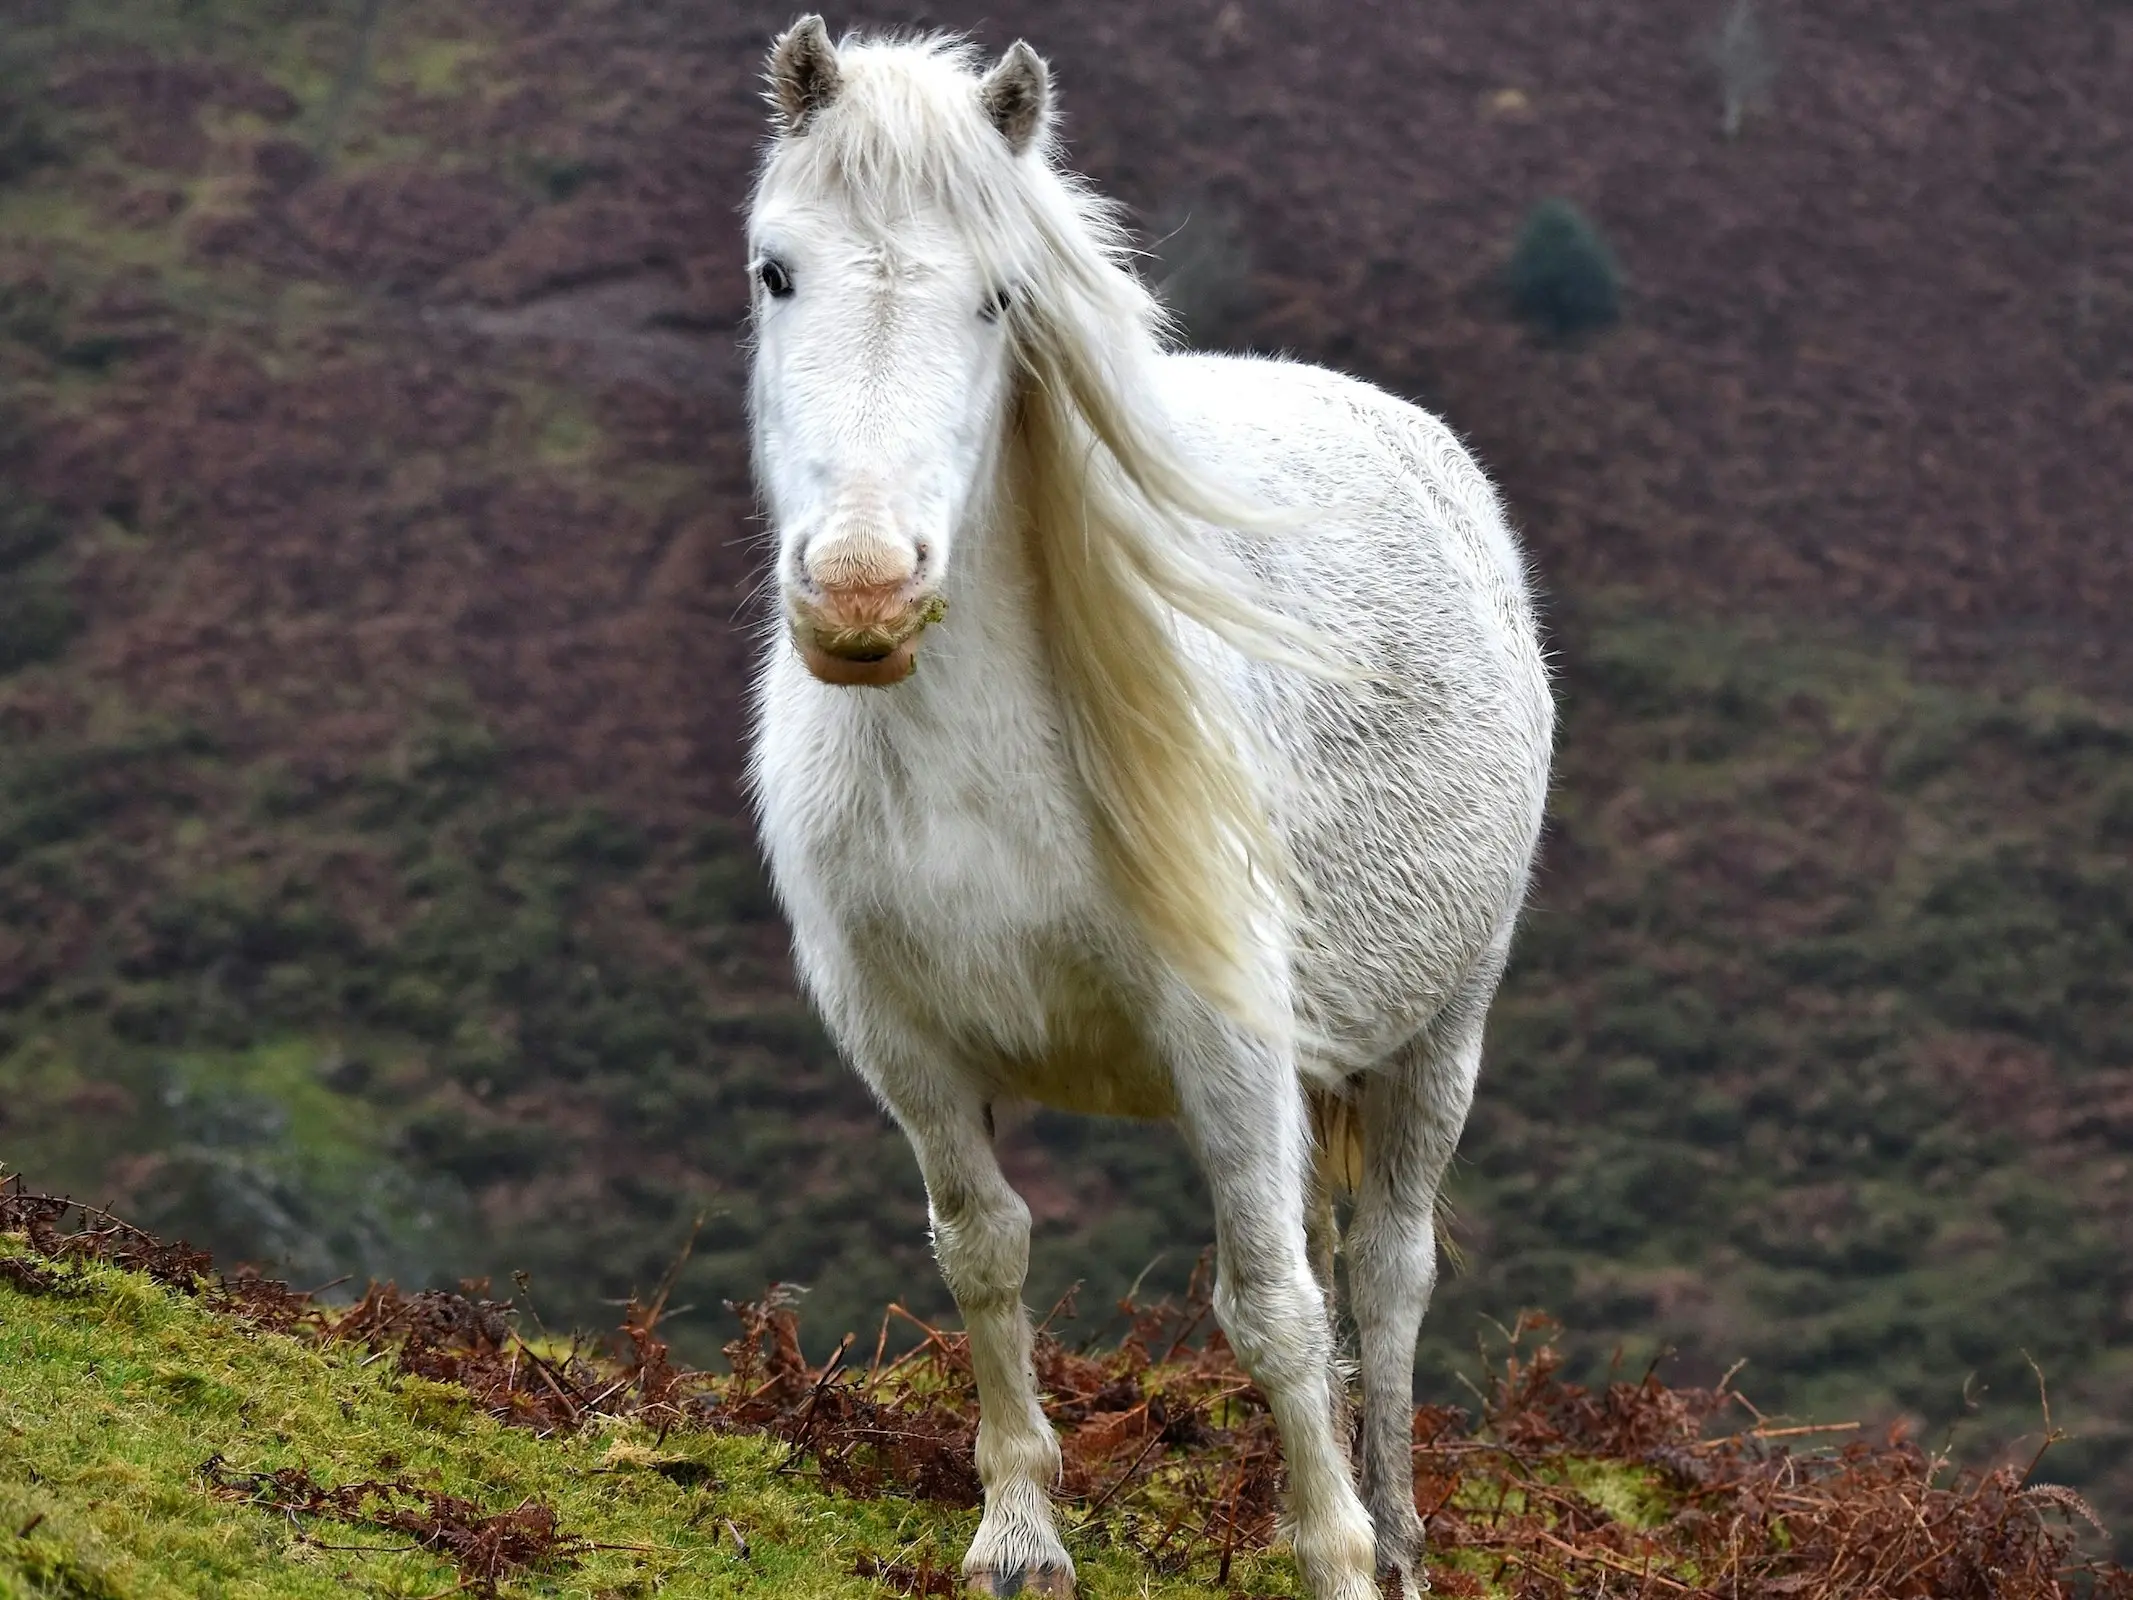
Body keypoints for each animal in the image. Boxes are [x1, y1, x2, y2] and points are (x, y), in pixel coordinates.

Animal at [744, 20, 1554, 1600]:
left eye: (1000, 296)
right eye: (774, 271)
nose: (861, 594)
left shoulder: (1225, 1036)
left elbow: (1274, 1309)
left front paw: (1336, 1559)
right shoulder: (903, 1039)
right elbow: (983, 1250)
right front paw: (1017, 1532)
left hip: (1442, 1029)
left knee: (1385, 1276)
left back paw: (1398, 1534)